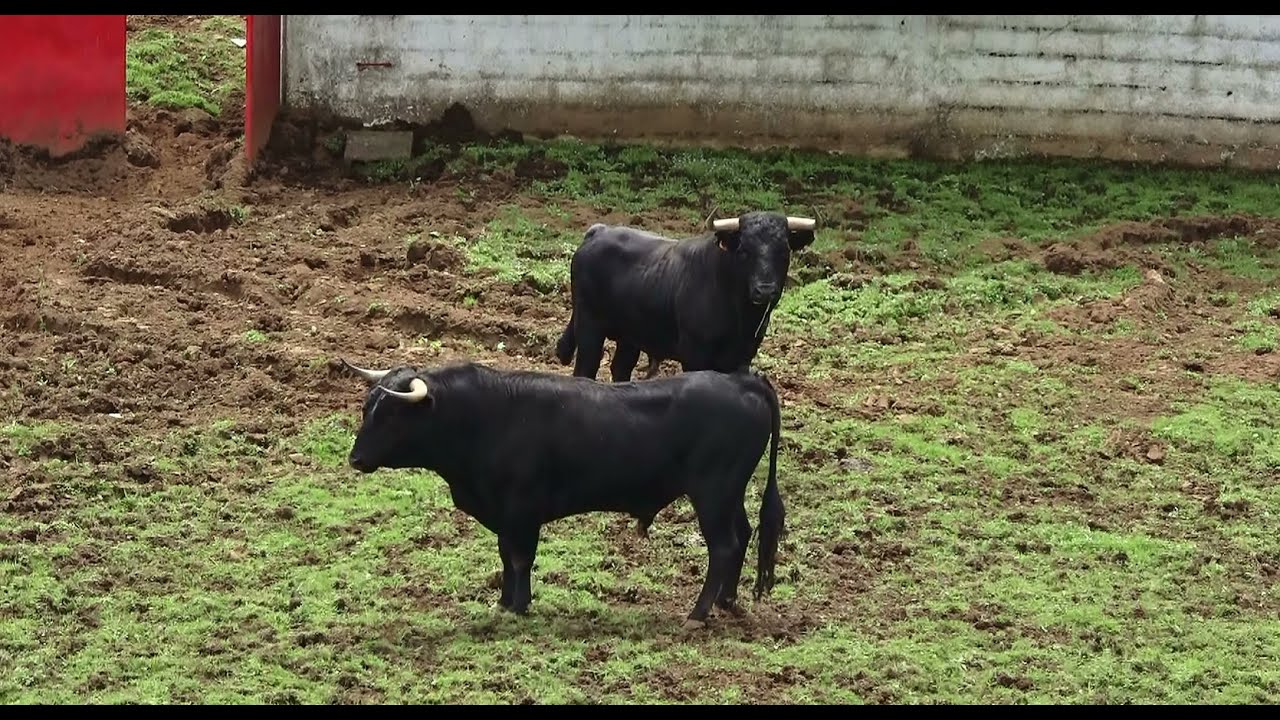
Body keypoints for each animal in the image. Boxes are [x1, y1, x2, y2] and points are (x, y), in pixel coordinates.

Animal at [339, 357, 786, 630]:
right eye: (366, 407)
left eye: (391, 413)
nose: (356, 459)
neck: (486, 416)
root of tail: (742, 380)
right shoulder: (507, 515)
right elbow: (506, 556)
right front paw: (505, 603)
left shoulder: (522, 509)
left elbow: (519, 557)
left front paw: (519, 605)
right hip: (729, 492)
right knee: (743, 536)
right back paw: (727, 601)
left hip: (713, 492)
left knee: (724, 546)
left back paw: (698, 612)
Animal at [555, 211, 817, 381]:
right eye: (744, 250)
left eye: (784, 251)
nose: (765, 289)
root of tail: (599, 231)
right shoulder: (695, 354)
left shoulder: (742, 356)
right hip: (589, 328)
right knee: (585, 369)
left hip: (630, 336)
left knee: (621, 368)